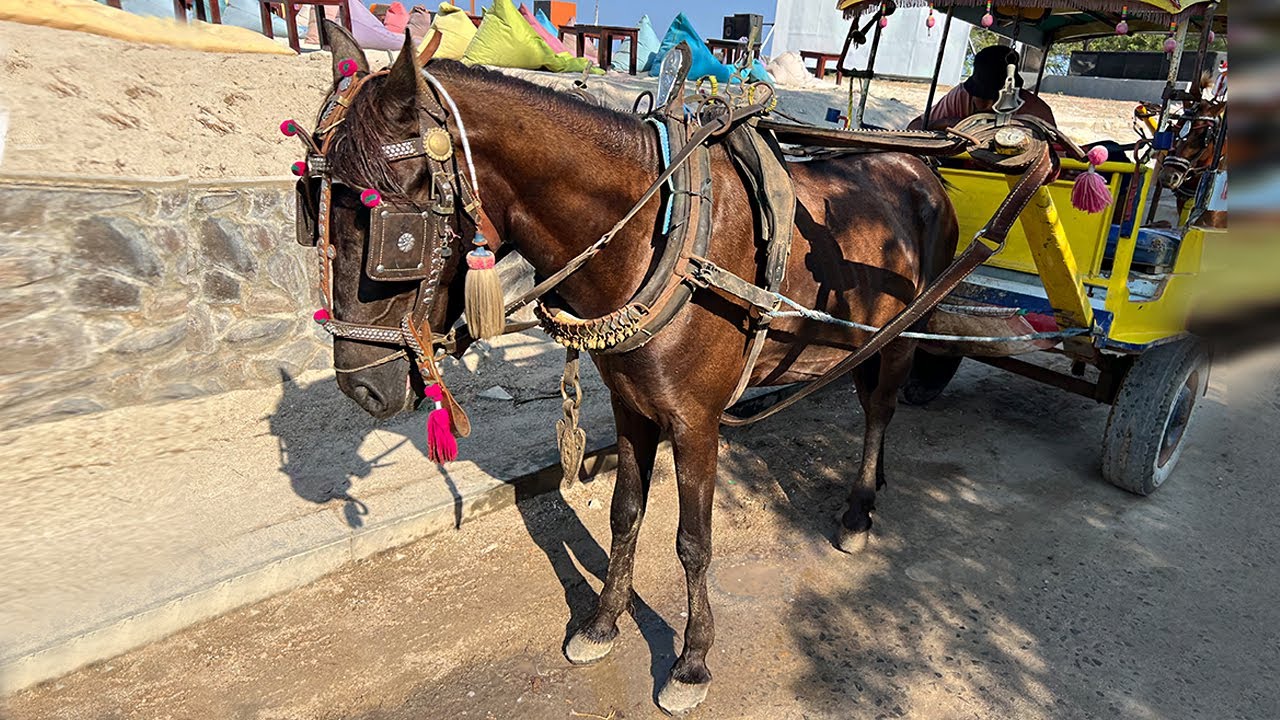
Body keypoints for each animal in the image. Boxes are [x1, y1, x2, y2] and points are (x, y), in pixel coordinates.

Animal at [305, 25, 958, 714]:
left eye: (392, 234)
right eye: (308, 211)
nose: (361, 387)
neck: (658, 230)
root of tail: (922, 167)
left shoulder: (696, 422)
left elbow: (693, 541)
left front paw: (692, 661)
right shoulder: (631, 403)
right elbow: (624, 515)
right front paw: (602, 621)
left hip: (904, 337)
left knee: (880, 409)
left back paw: (859, 507)